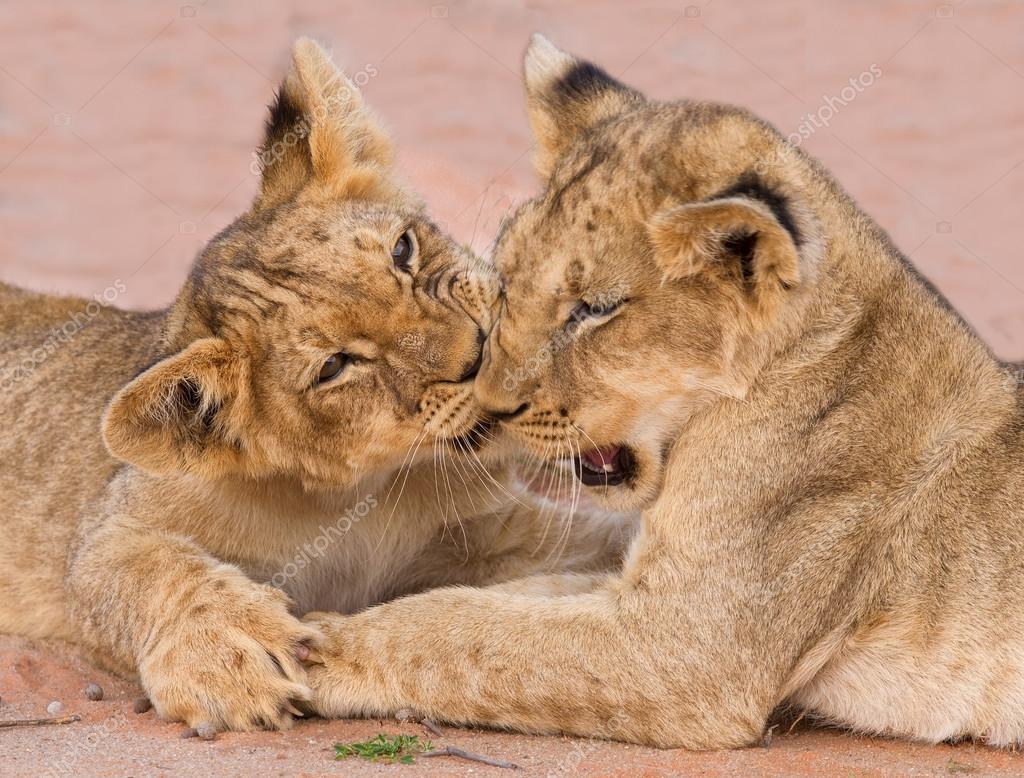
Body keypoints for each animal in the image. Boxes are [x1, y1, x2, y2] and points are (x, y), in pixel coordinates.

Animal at [0, 39, 629, 735]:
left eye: (403, 251)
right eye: (334, 367)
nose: (477, 356)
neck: (364, 496)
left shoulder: (492, 532)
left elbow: (598, 547)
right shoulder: (108, 531)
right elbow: (142, 571)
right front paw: (232, 649)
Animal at [305, 35, 1024, 749]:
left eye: (594, 310)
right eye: (506, 284)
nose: (493, 406)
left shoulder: (689, 644)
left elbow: (460, 631)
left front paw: (318, 650)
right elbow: (497, 599)